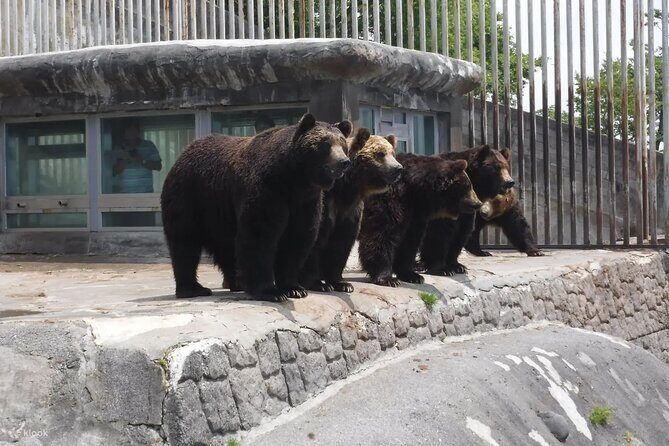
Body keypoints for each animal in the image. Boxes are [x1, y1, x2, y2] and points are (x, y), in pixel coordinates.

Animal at [160, 114, 352, 301]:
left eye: (342, 143)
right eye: (325, 143)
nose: (344, 161)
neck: (294, 178)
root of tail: (184, 153)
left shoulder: (306, 201)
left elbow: (297, 238)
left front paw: (294, 288)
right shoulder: (267, 190)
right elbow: (259, 235)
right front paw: (271, 292)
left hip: (220, 214)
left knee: (226, 247)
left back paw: (236, 282)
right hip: (190, 198)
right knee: (185, 242)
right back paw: (193, 288)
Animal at [300, 128, 403, 293]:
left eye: (392, 153)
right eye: (380, 153)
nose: (398, 168)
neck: (346, 187)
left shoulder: (350, 210)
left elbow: (343, 242)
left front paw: (342, 283)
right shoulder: (326, 203)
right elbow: (315, 237)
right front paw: (317, 283)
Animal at [358, 153, 482, 287]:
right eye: (468, 186)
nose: (478, 203)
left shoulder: (414, 214)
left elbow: (410, 240)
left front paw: (412, 276)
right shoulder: (389, 200)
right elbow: (381, 234)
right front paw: (388, 278)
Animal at [419, 144, 516, 276]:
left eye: (506, 166)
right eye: (496, 167)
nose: (509, 182)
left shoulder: (465, 209)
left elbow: (462, 231)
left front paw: (457, 266)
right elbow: (439, 232)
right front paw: (442, 268)